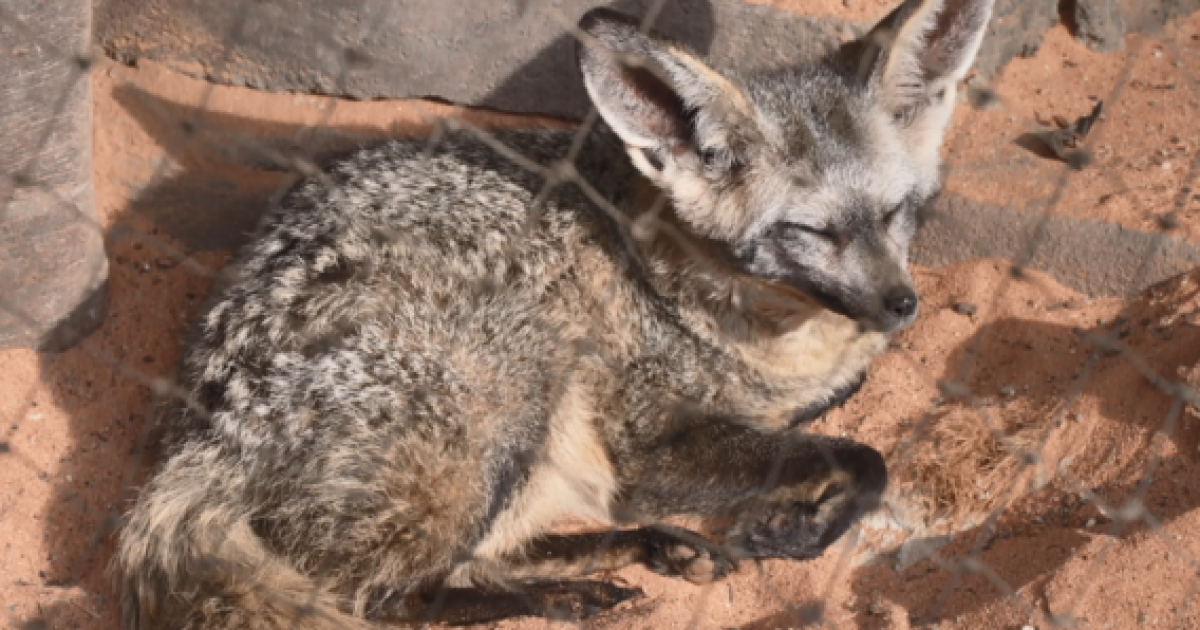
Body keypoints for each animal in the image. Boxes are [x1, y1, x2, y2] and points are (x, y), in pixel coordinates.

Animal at [111, 0, 994, 627]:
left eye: (899, 214)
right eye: (810, 232)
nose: (902, 307)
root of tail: (197, 441)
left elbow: (839, 421)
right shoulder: (649, 449)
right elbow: (863, 459)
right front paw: (797, 529)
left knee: (464, 560)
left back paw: (640, 555)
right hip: (509, 392)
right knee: (390, 595)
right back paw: (554, 598)